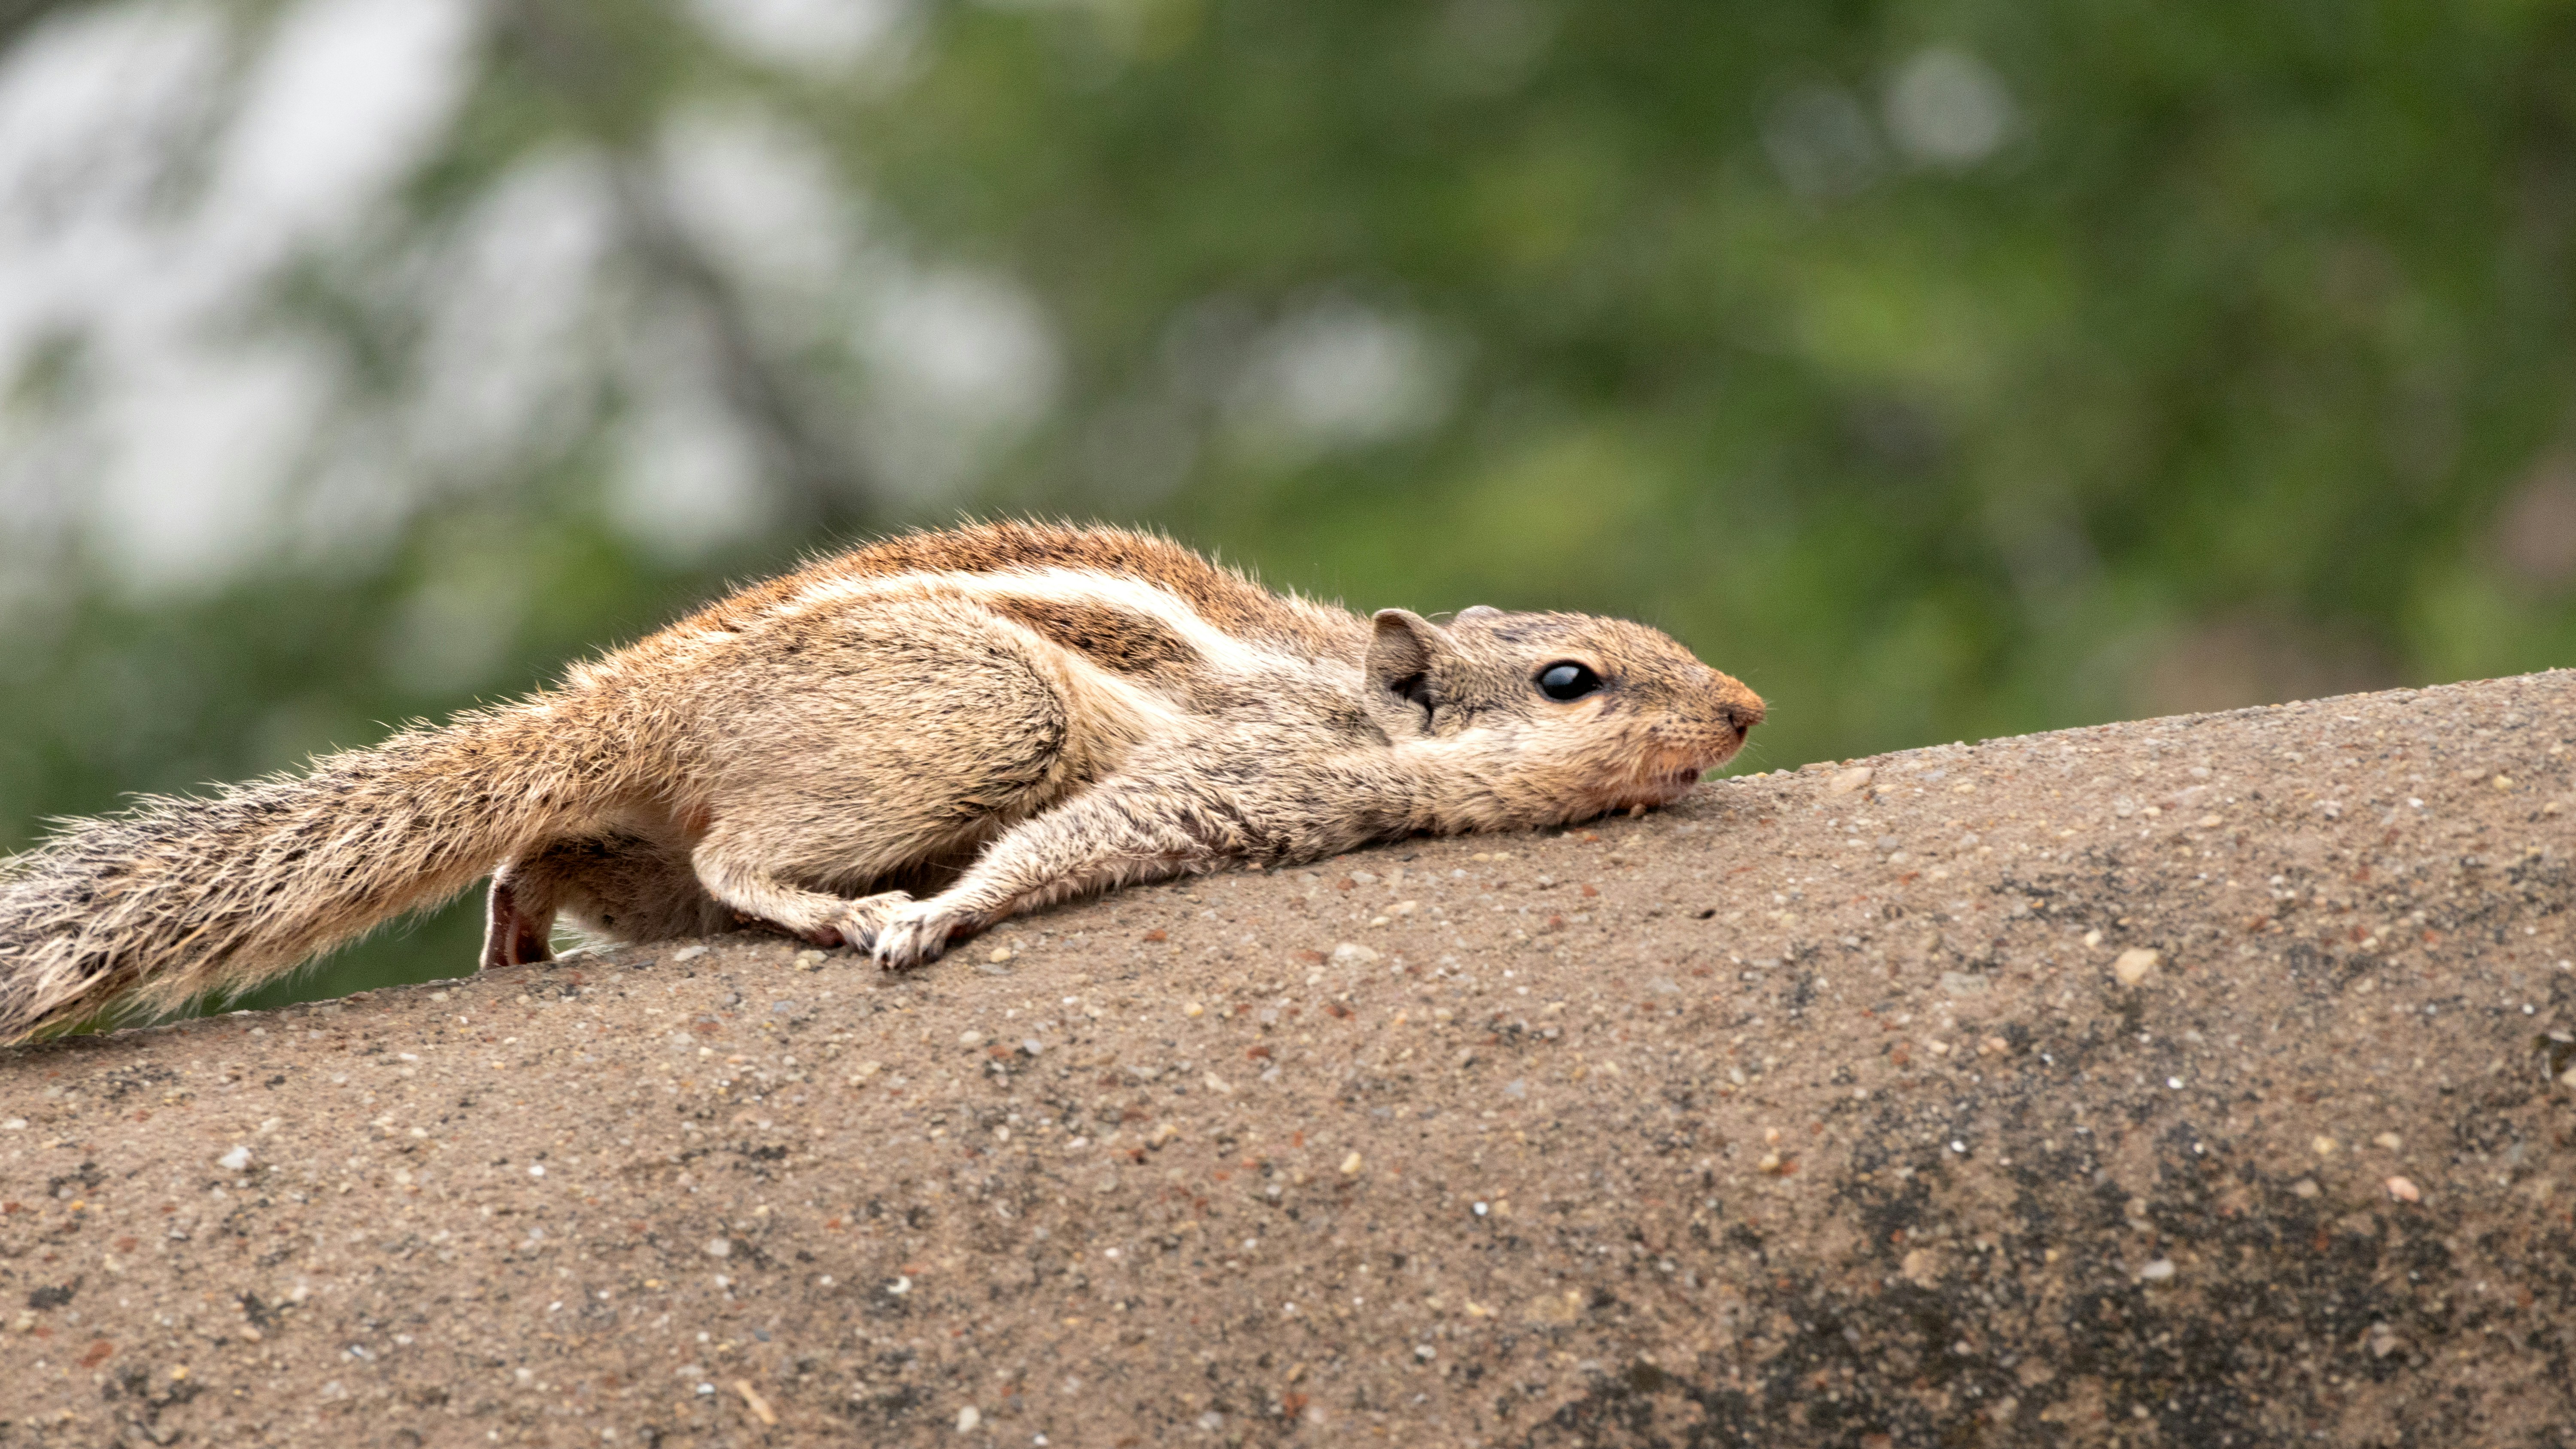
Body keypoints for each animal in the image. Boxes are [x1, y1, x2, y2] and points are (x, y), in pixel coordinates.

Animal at [0, 521, 1763, 1042]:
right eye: (1571, 682)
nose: (1746, 707)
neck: (1346, 694)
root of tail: (622, 700)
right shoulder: (1247, 771)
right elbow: (1092, 837)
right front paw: (943, 921)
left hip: (659, 836)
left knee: (584, 861)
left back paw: (519, 926)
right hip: (986, 713)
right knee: (741, 871)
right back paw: (849, 916)